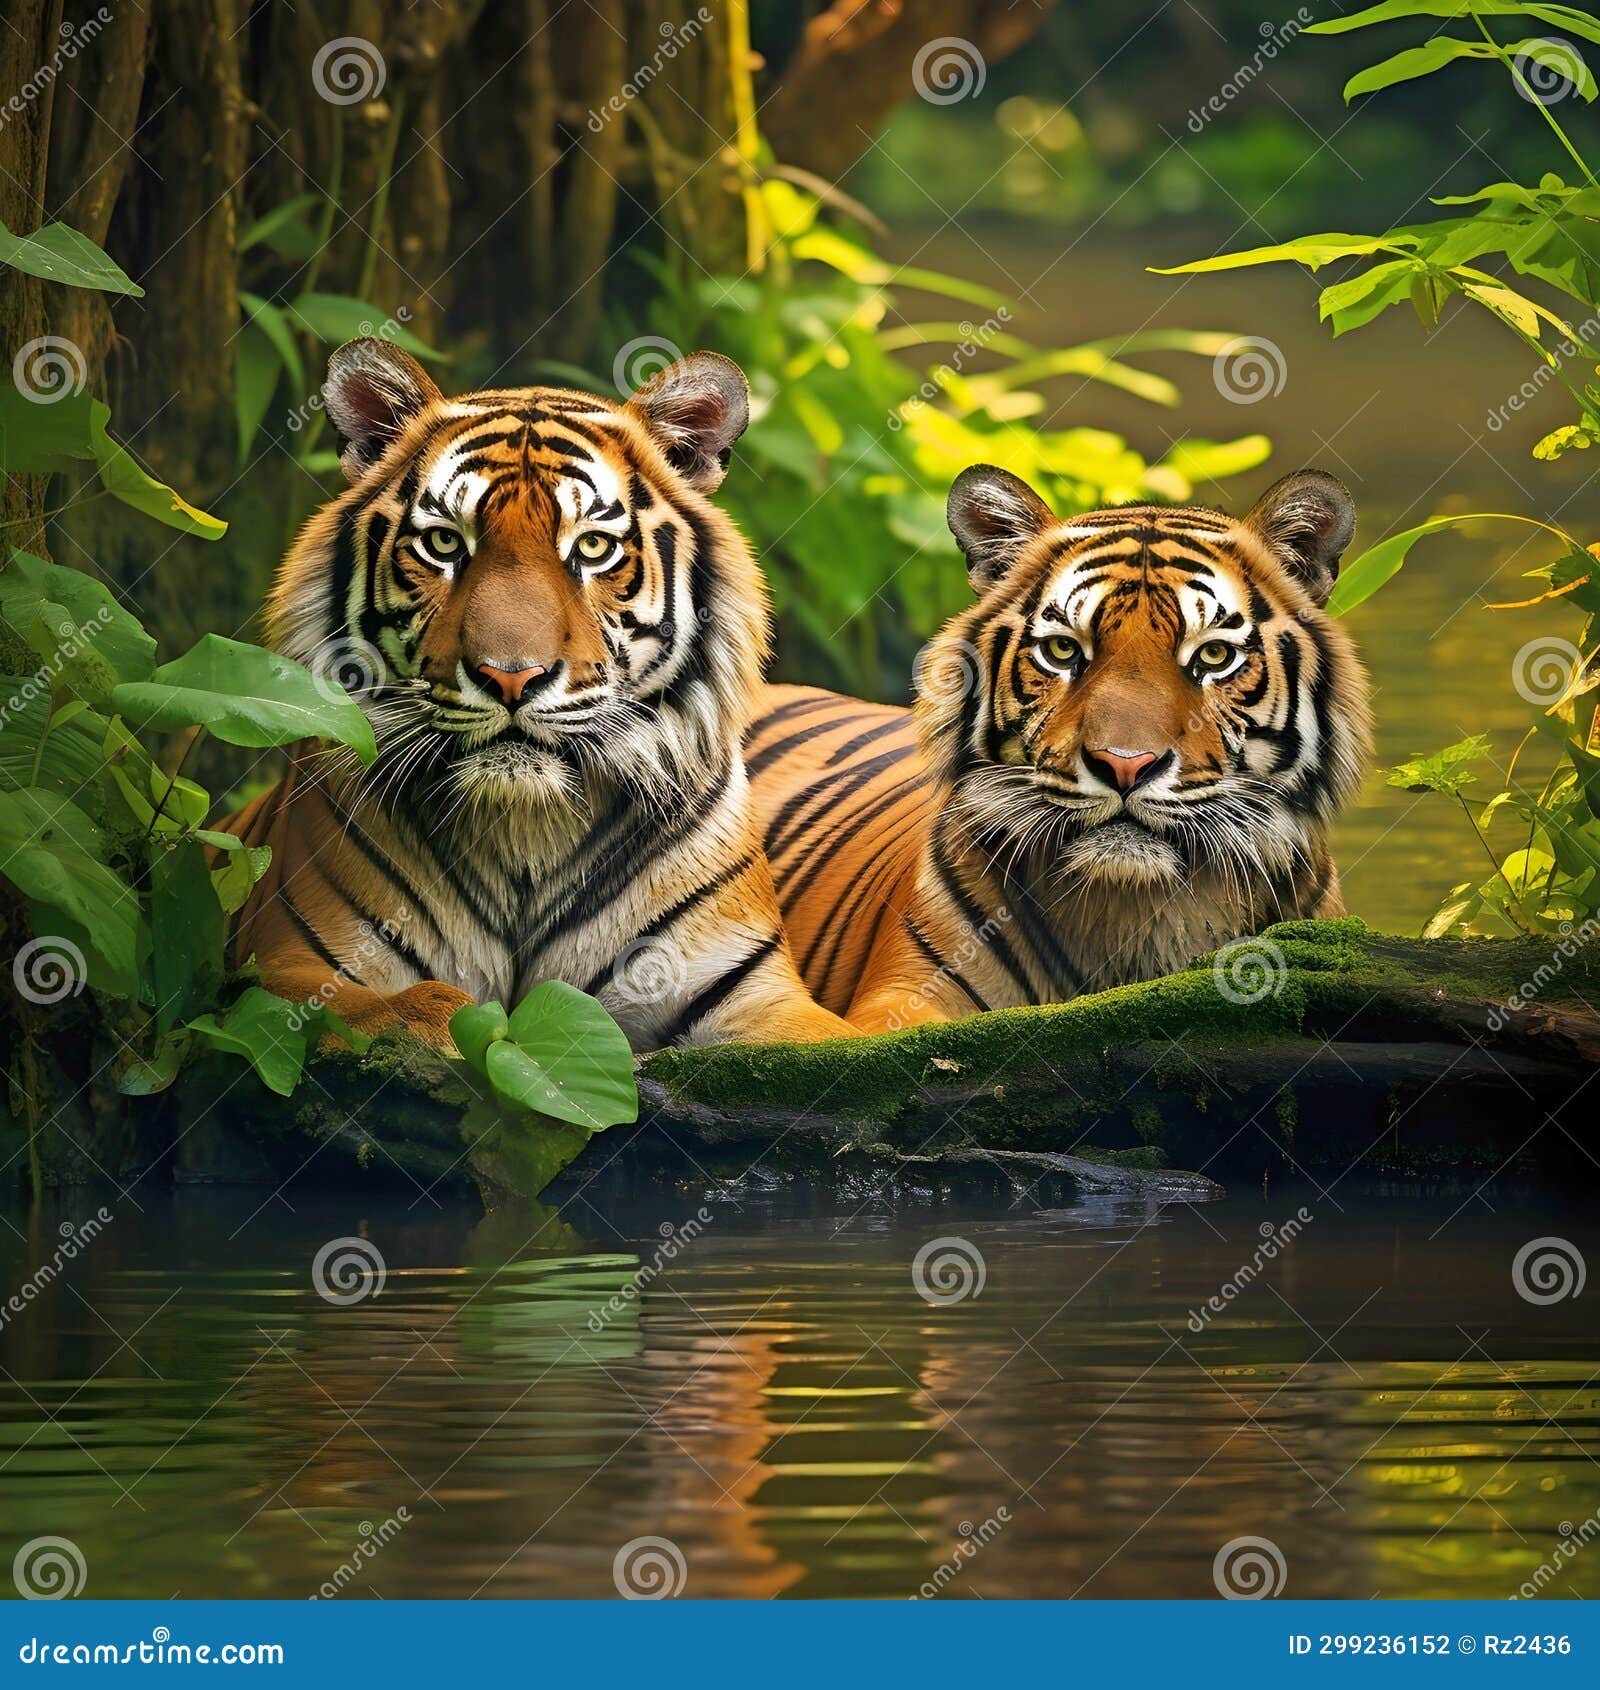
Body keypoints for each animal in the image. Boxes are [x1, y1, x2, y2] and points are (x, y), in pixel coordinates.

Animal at [223, 337, 851, 1050]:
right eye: (444, 542)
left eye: (595, 546)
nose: (510, 677)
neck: (527, 830)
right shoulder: (283, 971)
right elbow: (407, 1007)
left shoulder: (752, 990)